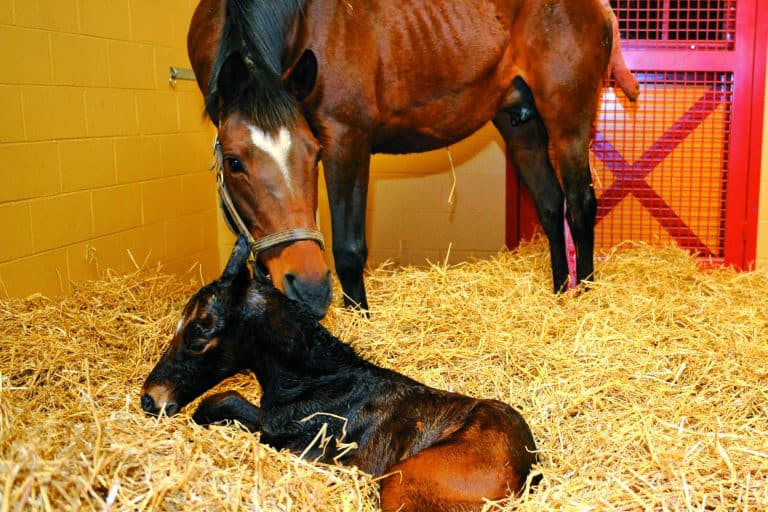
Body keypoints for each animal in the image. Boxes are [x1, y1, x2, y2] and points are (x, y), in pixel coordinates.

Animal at [141, 235, 540, 511]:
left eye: (198, 335)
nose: (151, 398)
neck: (317, 382)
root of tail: (528, 468)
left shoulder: (305, 448)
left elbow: (225, 401)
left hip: (402, 482)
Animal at [188, 0, 616, 317]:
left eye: (314, 155)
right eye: (233, 162)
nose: (310, 287)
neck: (301, 19)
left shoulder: (346, 139)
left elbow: (349, 250)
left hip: (568, 122)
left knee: (580, 204)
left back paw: (585, 296)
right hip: (521, 127)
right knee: (551, 205)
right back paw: (559, 293)